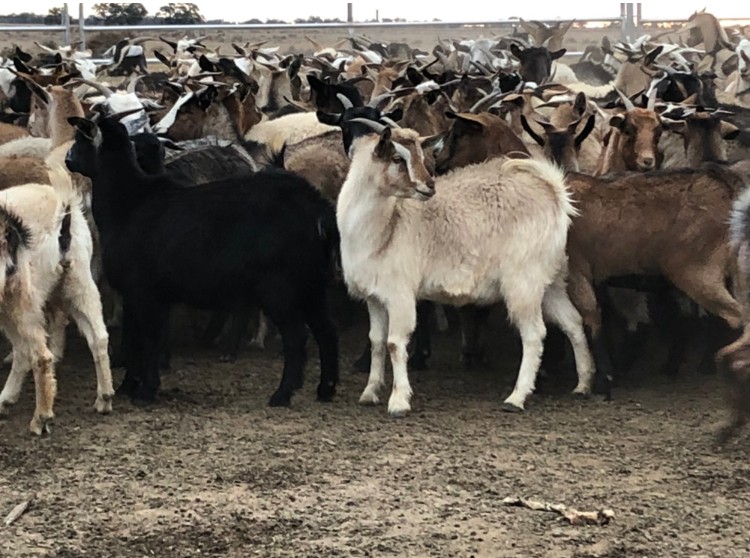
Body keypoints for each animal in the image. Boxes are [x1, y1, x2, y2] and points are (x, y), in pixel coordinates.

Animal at [338, 120, 594, 416]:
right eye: (397, 158)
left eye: (421, 155)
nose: (429, 186)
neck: (387, 225)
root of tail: (554, 193)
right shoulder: (374, 296)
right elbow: (376, 342)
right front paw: (370, 392)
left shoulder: (400, 293)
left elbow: (394, 343)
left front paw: (399, 400)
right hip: (551, 279)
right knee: (573, 322)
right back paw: (583, 383)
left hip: (522, 281)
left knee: (534, 334)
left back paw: (517, 397)